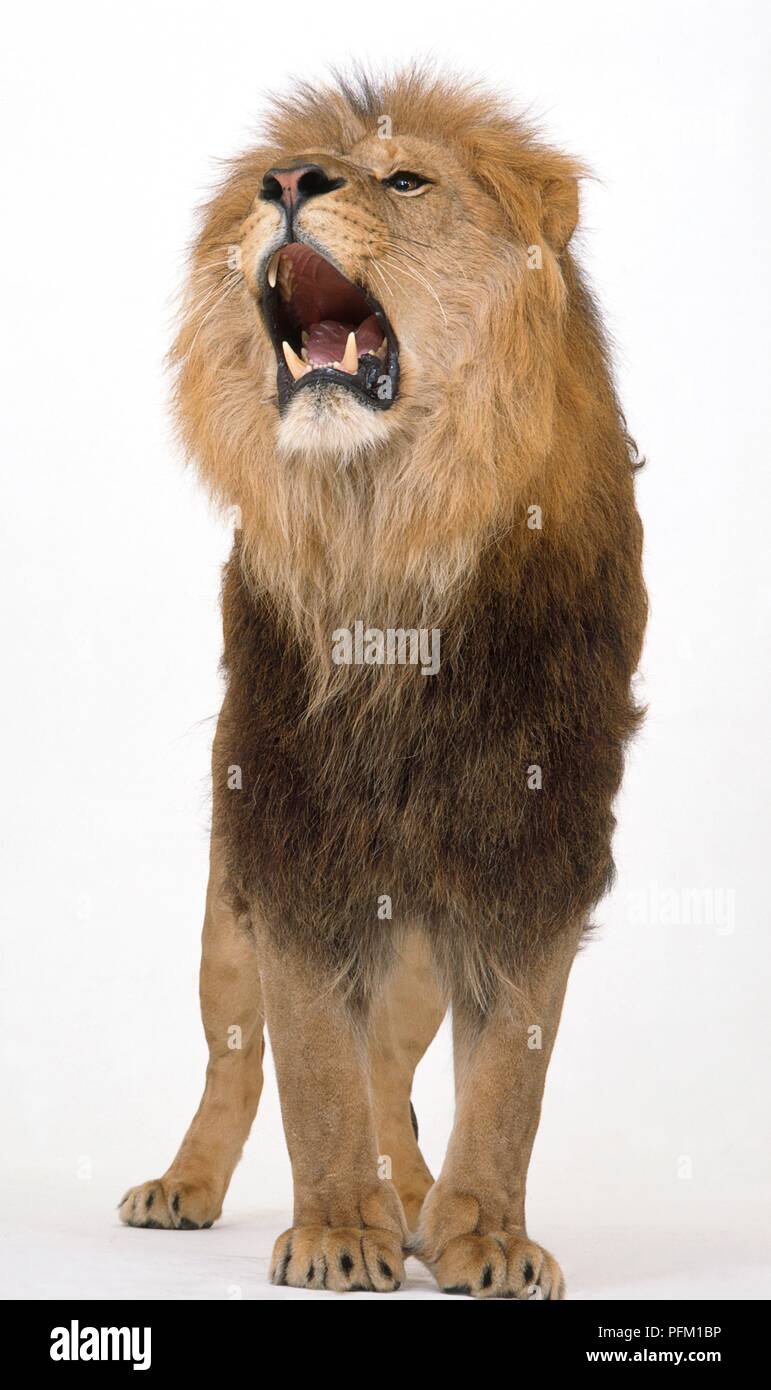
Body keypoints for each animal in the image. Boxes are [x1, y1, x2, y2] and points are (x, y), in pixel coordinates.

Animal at [119, 67, 647, 1299]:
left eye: (406, 180)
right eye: (270, 179)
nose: (286, 184)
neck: (390, 538)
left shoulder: (534, 842)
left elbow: (505, 1081)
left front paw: (484, 1236)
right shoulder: (293, 840)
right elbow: (313, 1065)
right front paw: (334, 1232)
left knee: (396, 1075)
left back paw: (413, 1198)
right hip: (228, 906)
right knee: (238, 1061)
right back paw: (192, 1187)